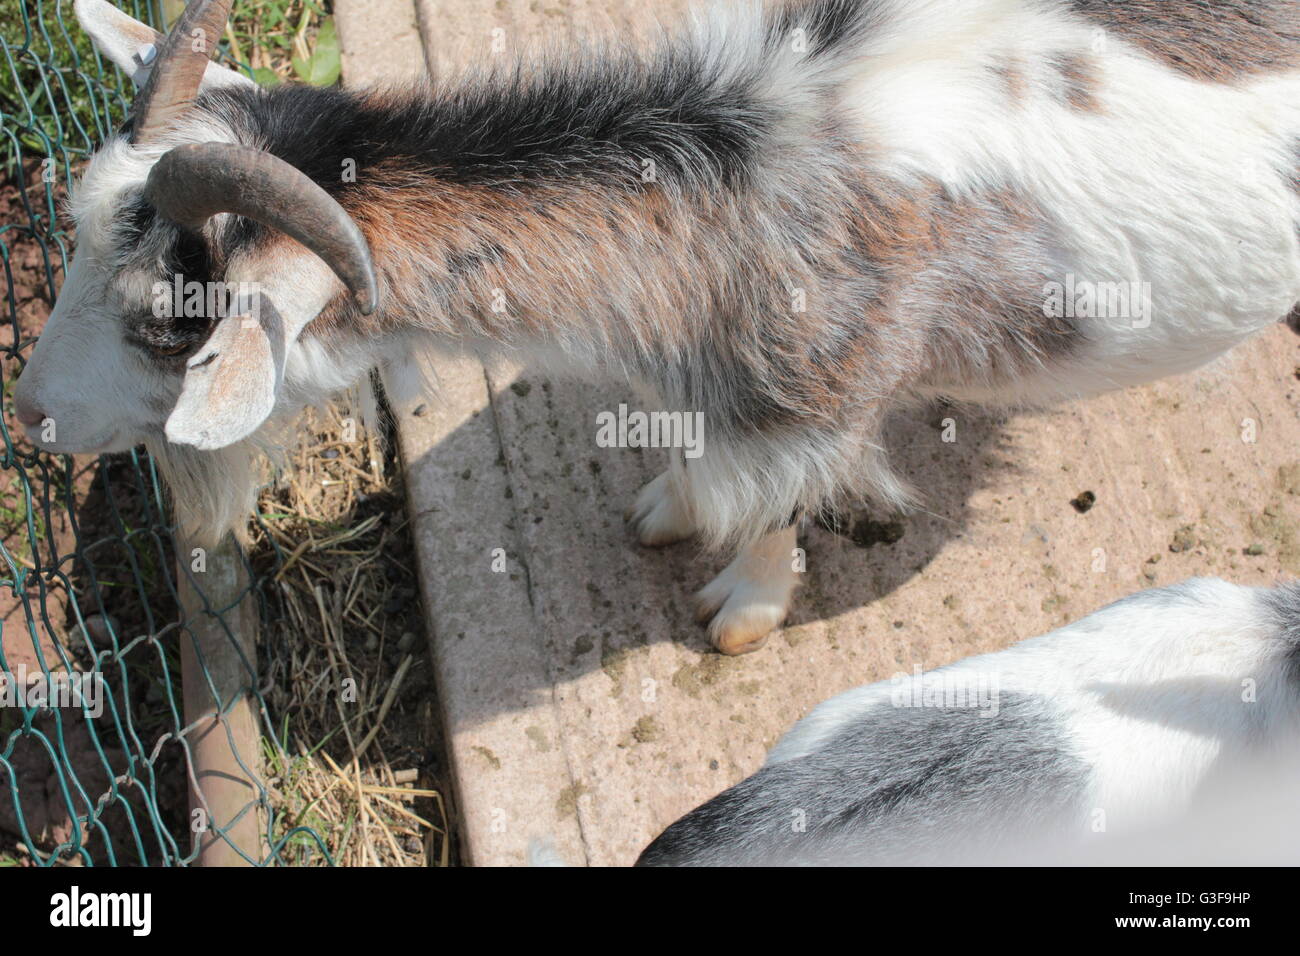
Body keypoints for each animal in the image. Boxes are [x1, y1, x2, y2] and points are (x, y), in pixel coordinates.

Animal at [12, 0, 1300, 654]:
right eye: (70, 232)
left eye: (168, 319)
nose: (29, 414)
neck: (734, 161)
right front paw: (669, 505)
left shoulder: (814, 397)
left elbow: (778, 498)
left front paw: (743, 609)